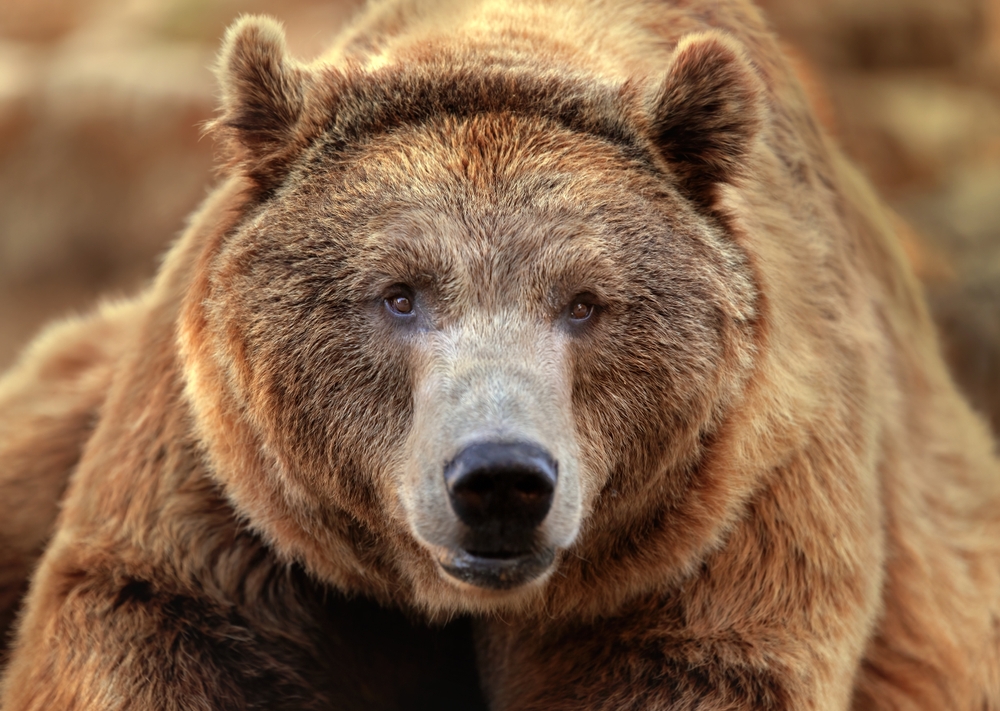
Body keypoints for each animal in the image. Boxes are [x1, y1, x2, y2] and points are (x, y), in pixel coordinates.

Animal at [2, 0, 1000, 708]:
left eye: (586, 302)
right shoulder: (227, 497)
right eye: (399, 293)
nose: (500, 479)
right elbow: (156, 619)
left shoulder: (734, 515)